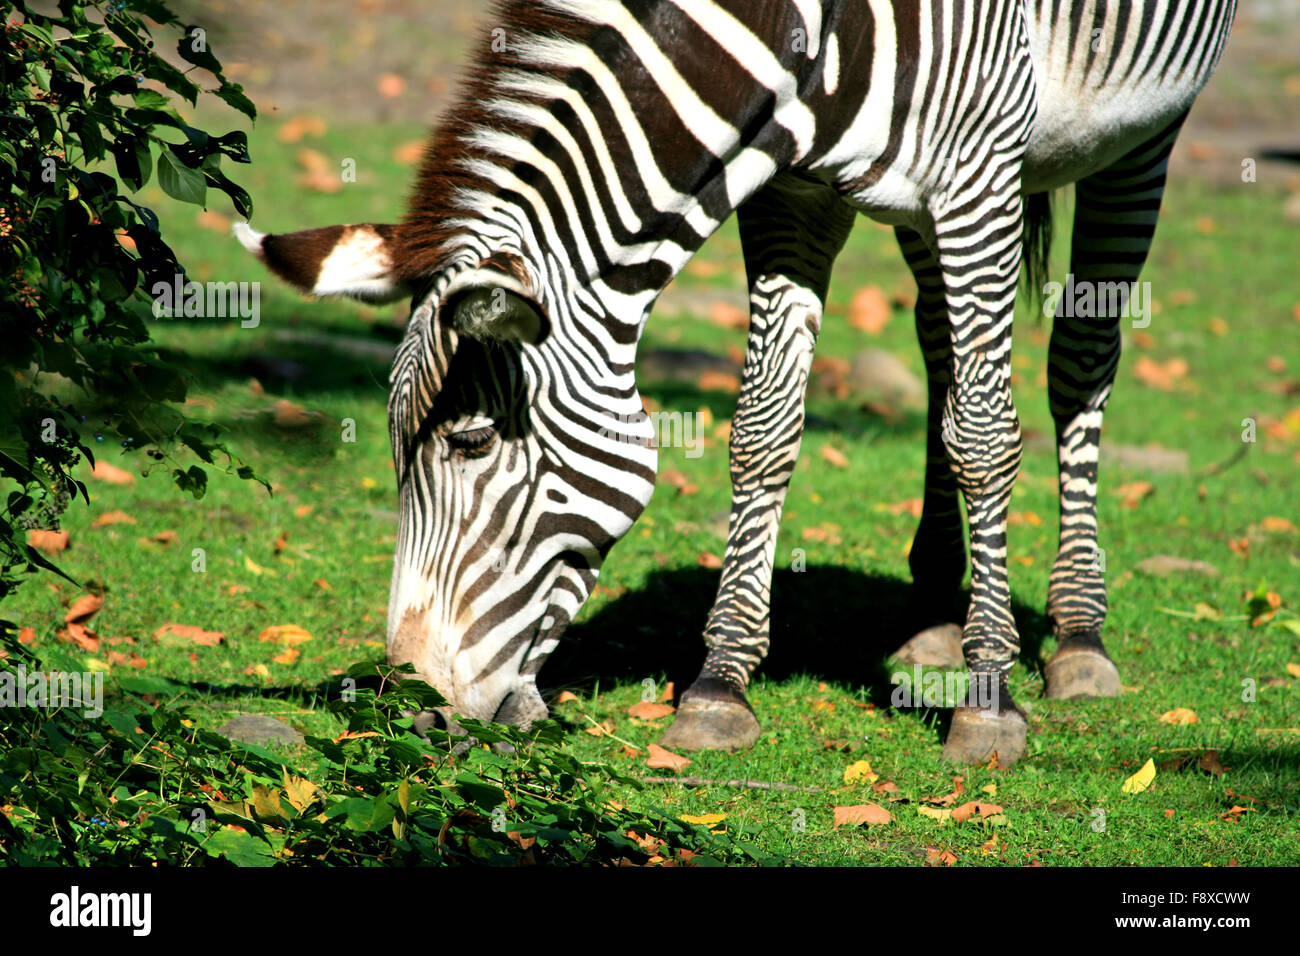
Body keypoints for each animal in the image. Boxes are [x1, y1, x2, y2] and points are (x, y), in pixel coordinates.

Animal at [237, 0, 1238, 766]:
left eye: (473, 443)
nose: (408, 701)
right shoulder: (794, 190)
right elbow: (765, 425)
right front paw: (719, 688)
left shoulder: (977, 179)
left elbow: (989, 437)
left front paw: (988, 703)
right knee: (941, 350)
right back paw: (931, 610)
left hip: (1142, 134)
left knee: (1079, 357)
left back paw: (1077, 637)